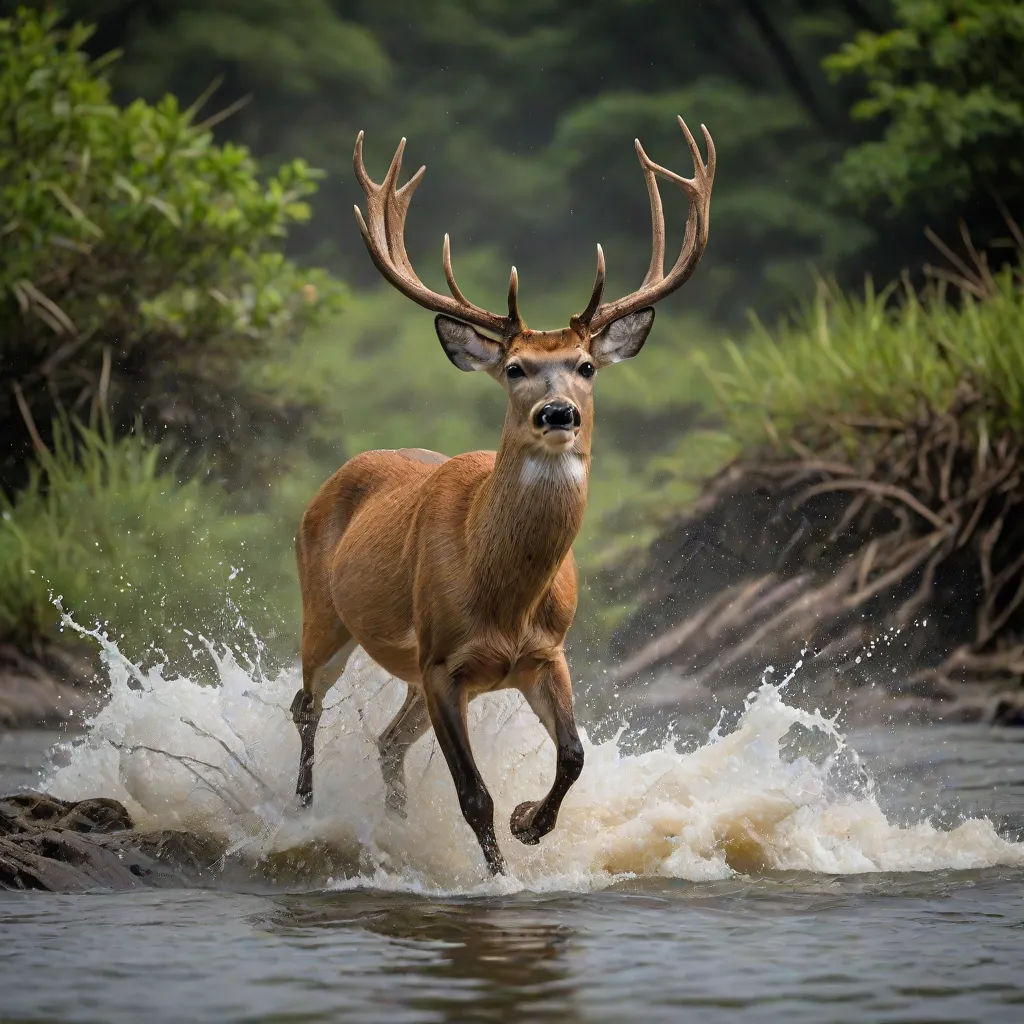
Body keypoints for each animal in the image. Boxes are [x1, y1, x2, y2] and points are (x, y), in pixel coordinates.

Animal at [290, 115, 715, 875]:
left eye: (585, 365)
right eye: (515, 367)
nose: (557, 413)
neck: (503, 600)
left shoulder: (546, 654)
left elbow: (575, 755)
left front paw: (531, 825)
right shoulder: (441, 660)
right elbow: (473, 796)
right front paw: (498, 875)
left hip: (406, 671)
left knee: (386, 741)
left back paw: (396, 826)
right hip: (325, 612)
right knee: (306, 705)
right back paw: (304, 811)